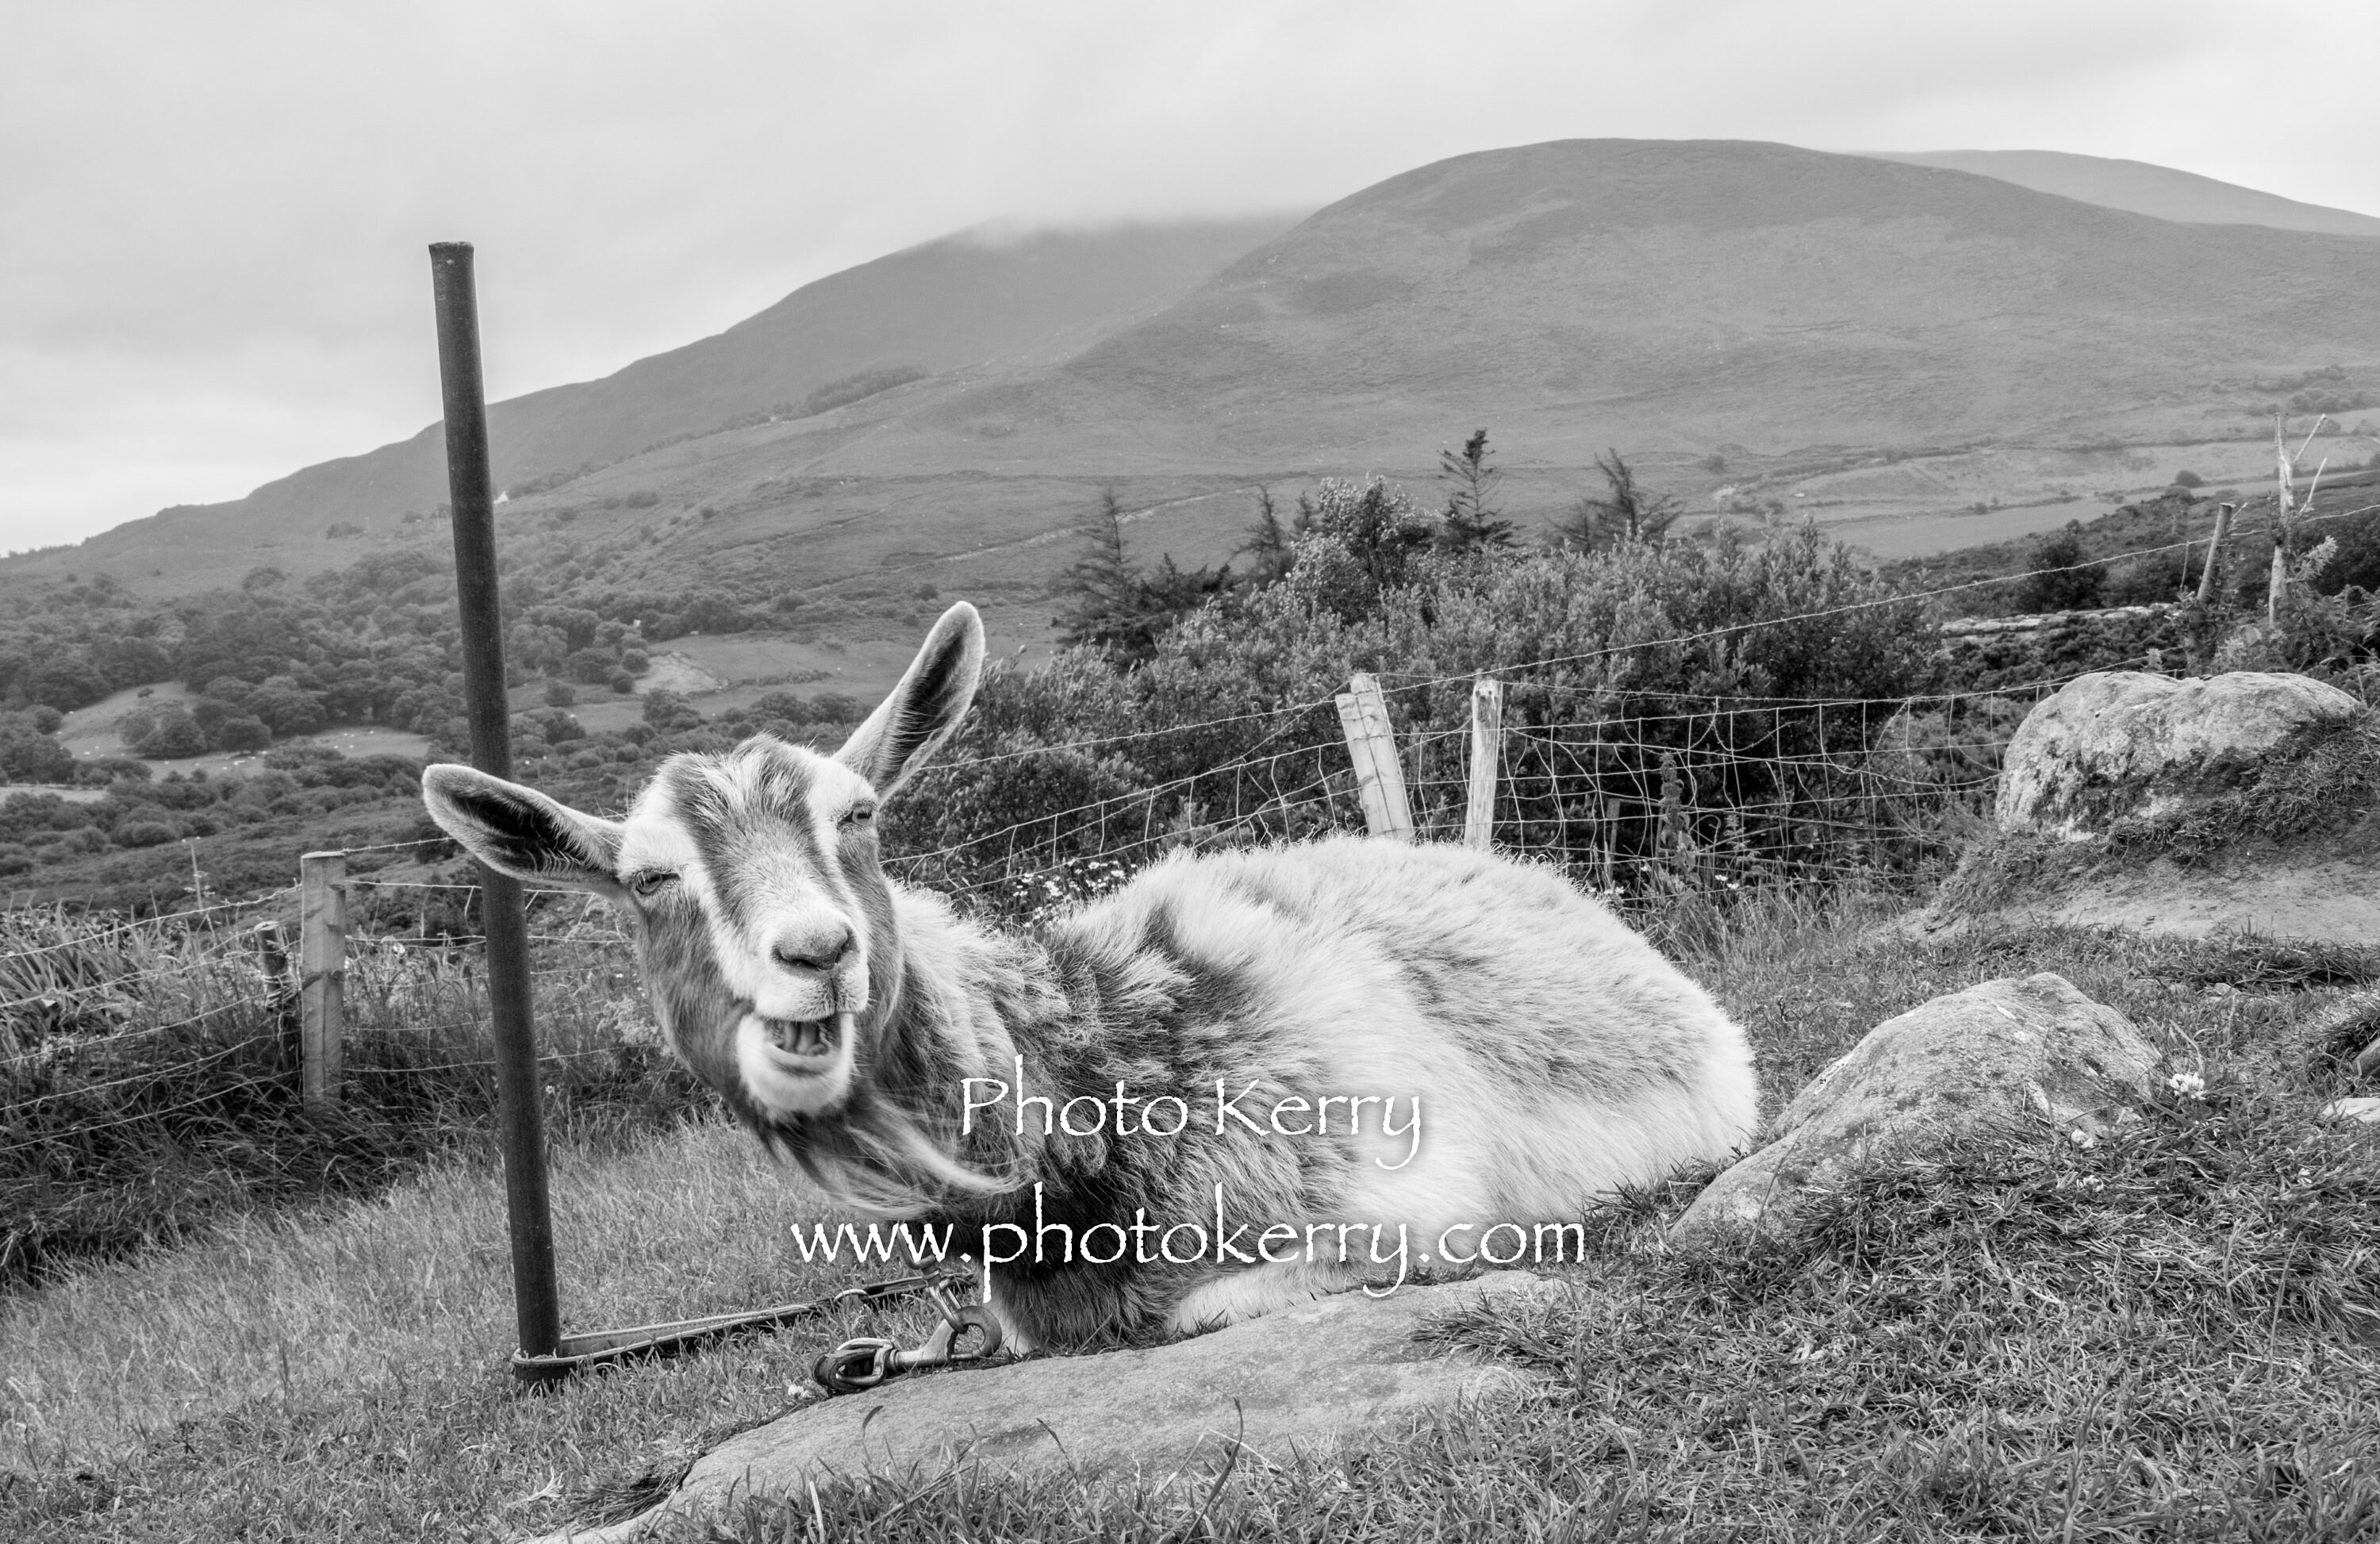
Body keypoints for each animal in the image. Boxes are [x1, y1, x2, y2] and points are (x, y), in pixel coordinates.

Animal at [421, 603, 1758, 1351]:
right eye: (649, 878)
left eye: (860, 811)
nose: (816, 953)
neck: (1108, 1065)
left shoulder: (1418, 1197)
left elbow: (1223, 1301)